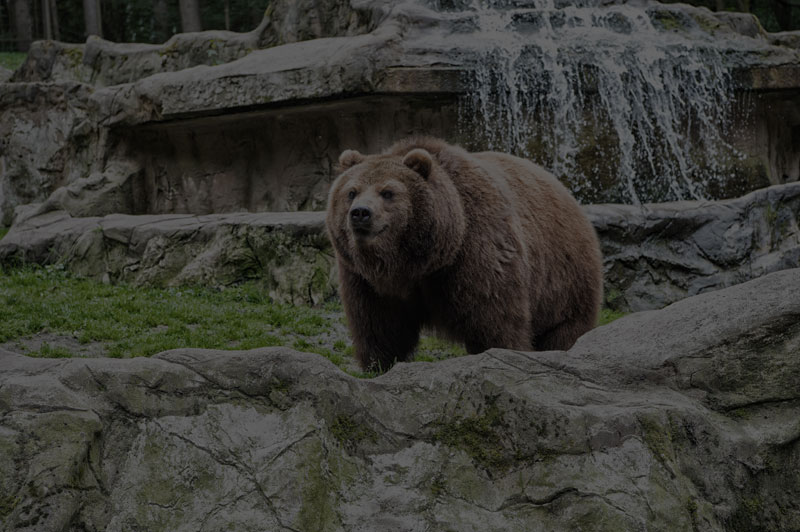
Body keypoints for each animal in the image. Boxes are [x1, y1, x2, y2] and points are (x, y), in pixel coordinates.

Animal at [325, 137, 603, 372]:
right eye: (351, 192)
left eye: (387, 192)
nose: (361, 213)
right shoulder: (366, 280)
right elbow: (379, 324)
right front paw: (378, 365)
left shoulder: (476, 252)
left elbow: (494, 319)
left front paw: (501, 354)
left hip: (563, 274)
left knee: (565, 326)